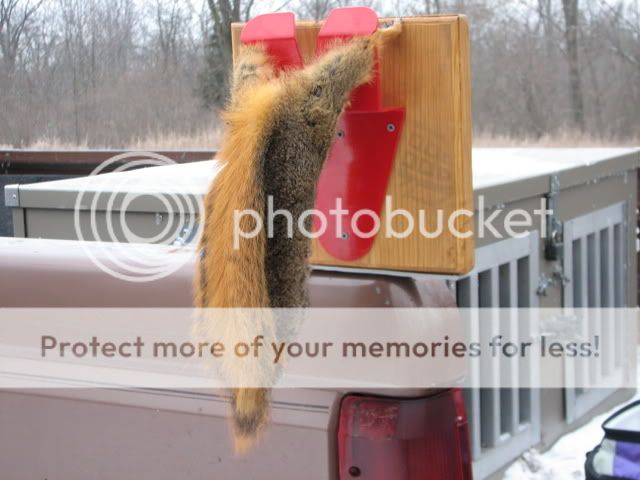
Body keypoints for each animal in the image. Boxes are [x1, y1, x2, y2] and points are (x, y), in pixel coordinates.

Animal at [194, 21, 401, 453]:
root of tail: (275, 109)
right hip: (315, 106)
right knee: (328, 78)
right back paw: (367, 42)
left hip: (290, 103)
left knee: (261, 80)